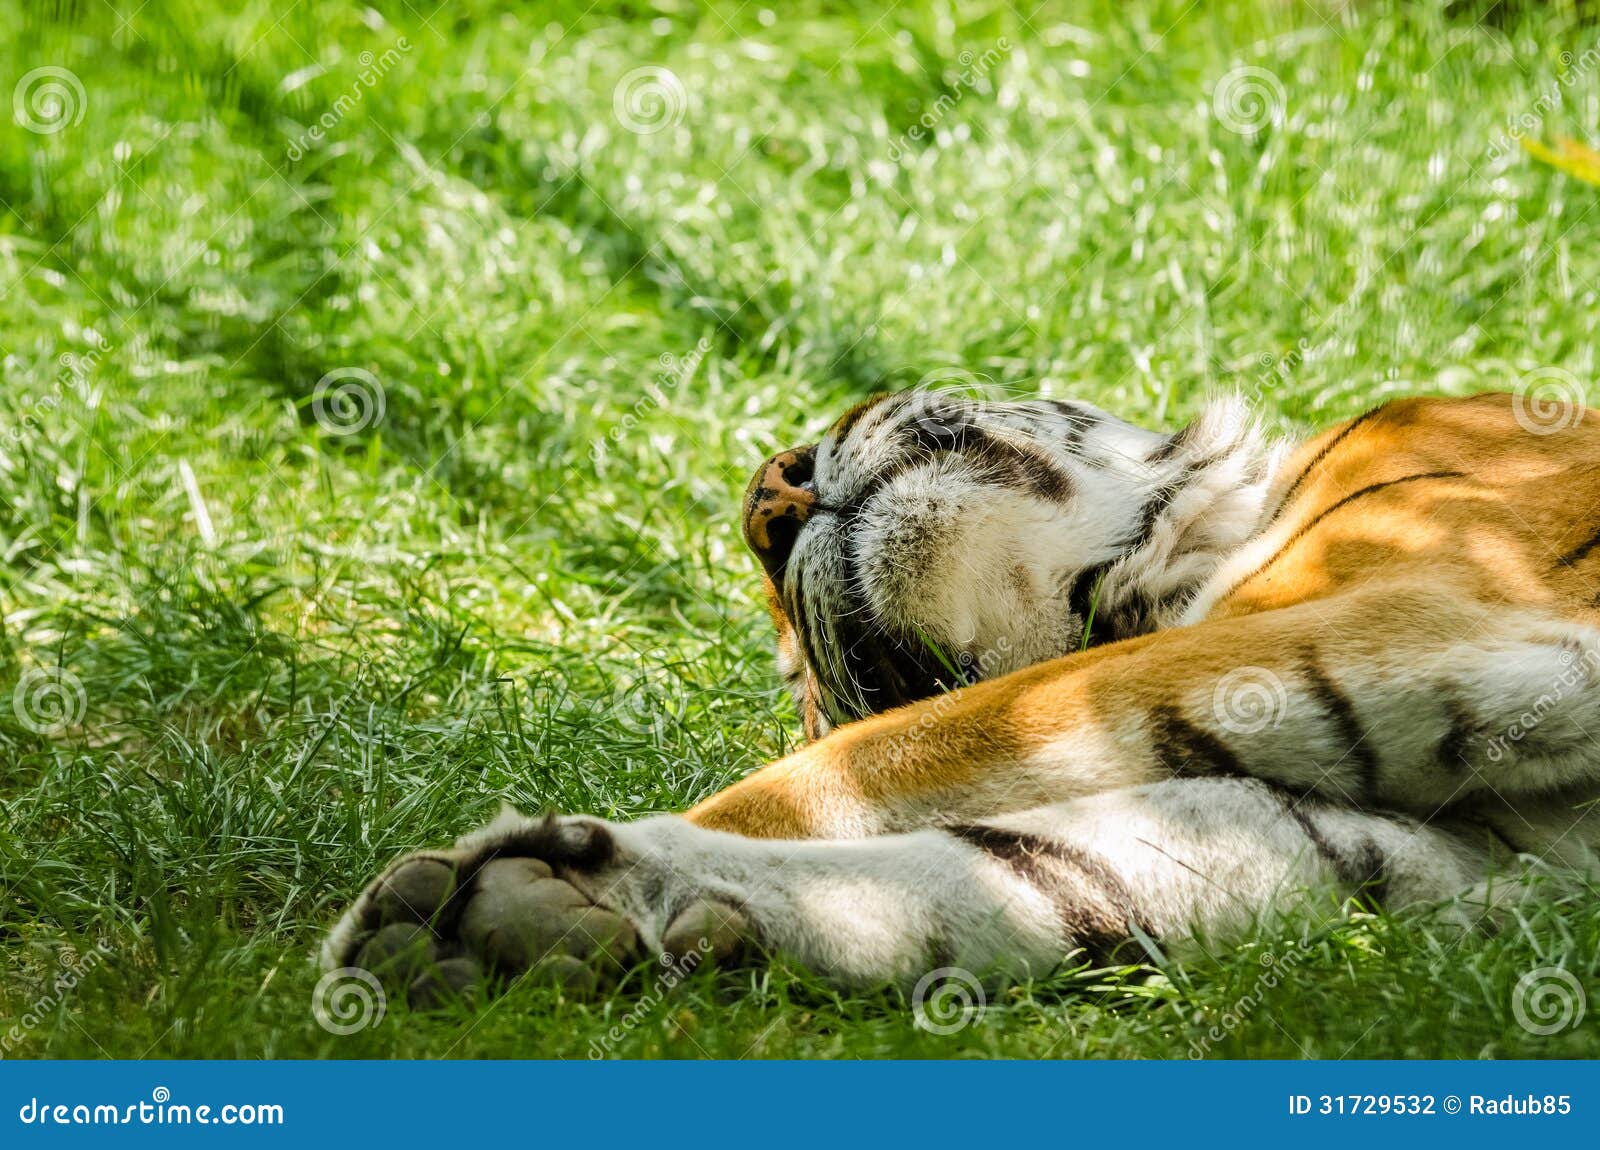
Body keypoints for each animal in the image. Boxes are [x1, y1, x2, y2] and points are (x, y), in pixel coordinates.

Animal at [325, 390, 1600, 999]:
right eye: (795, 668)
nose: (768, 496)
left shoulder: (1419, 600)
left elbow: (876, 758)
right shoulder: (1463, 852)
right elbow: (1019, 866)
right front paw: (515, 914)